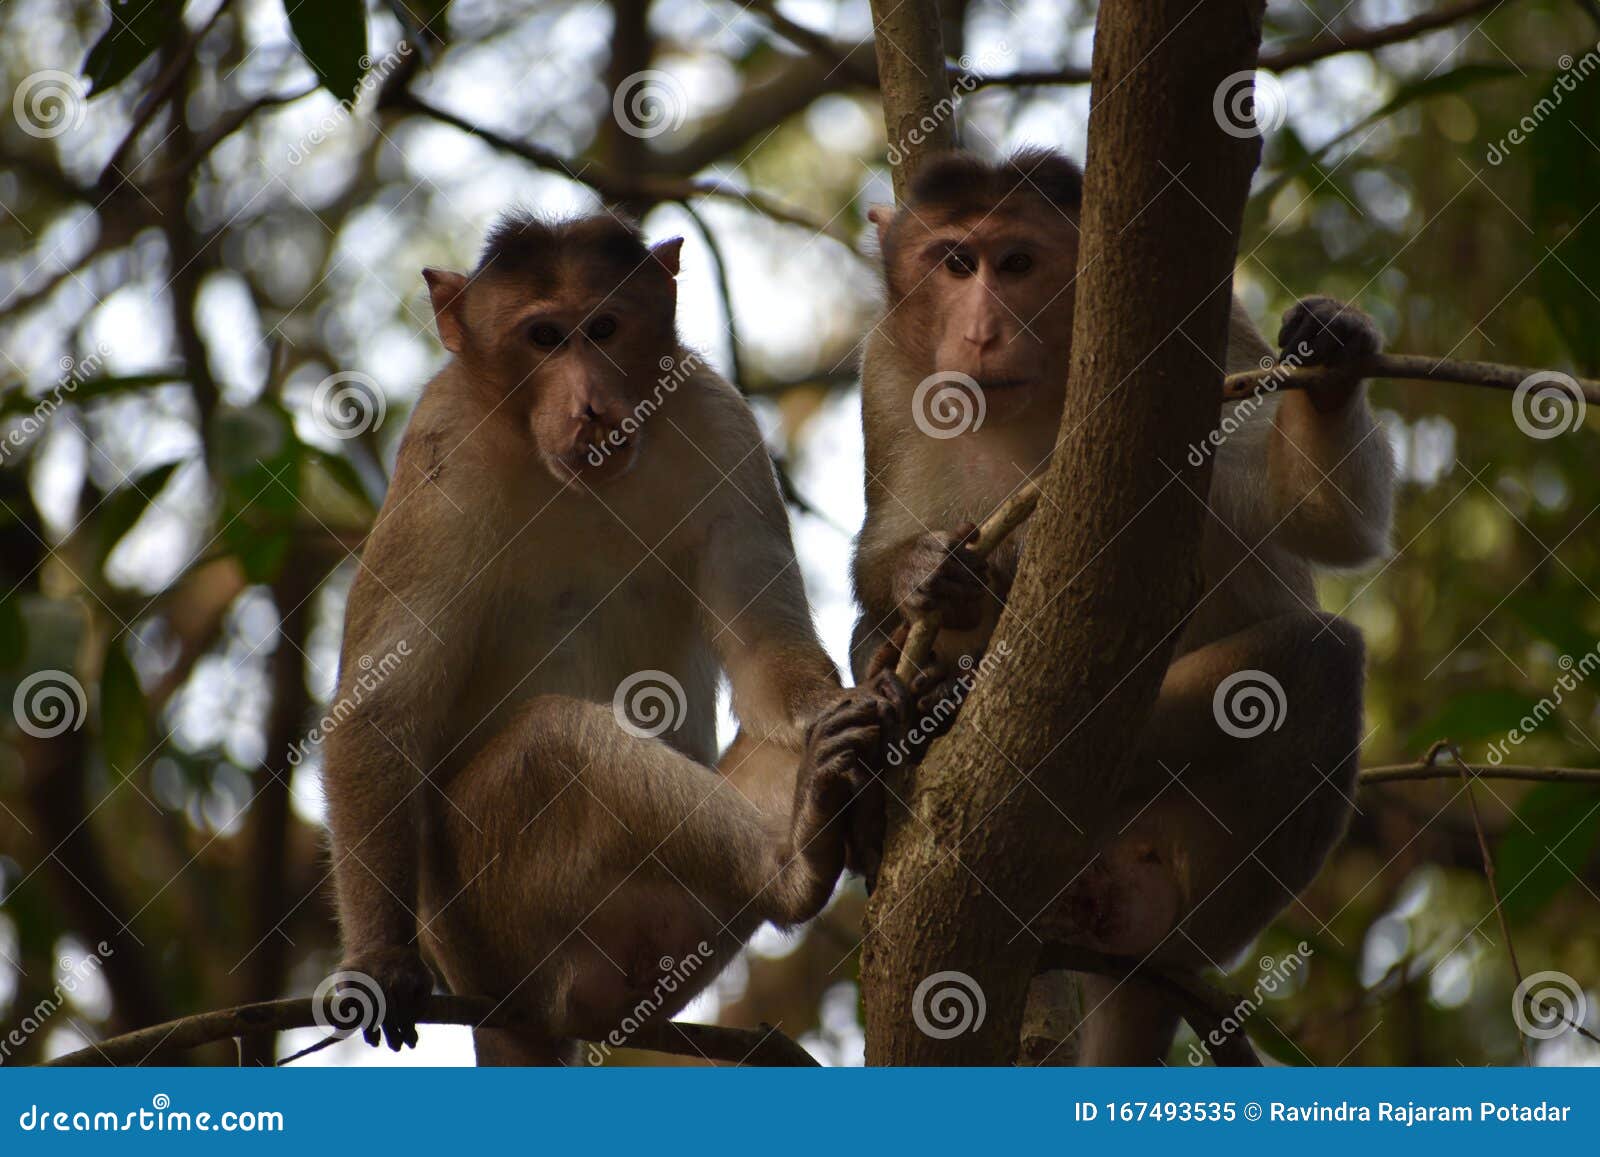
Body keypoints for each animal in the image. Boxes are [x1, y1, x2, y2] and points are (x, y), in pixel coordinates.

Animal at [322, 212, 905, 1066]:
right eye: (543, 337)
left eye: (602, 329)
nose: (592, 405)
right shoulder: (442, 447)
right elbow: (382, 707)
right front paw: (380, 961)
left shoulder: (715, 416)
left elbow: (767, 668)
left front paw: (849, 696)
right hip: (488, 908)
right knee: (556, 742)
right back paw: (793, 859)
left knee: (771, 743)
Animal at [849, 150, 1395, 1064]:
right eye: (955, 263)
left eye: (1017, 264)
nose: (981, 331)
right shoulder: (886, 368)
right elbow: (877, 558)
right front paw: (927, 575)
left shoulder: (1206, 340)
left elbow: (1319, 515)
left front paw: (1334, 352)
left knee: (1314, 662)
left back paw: (1144, 929)